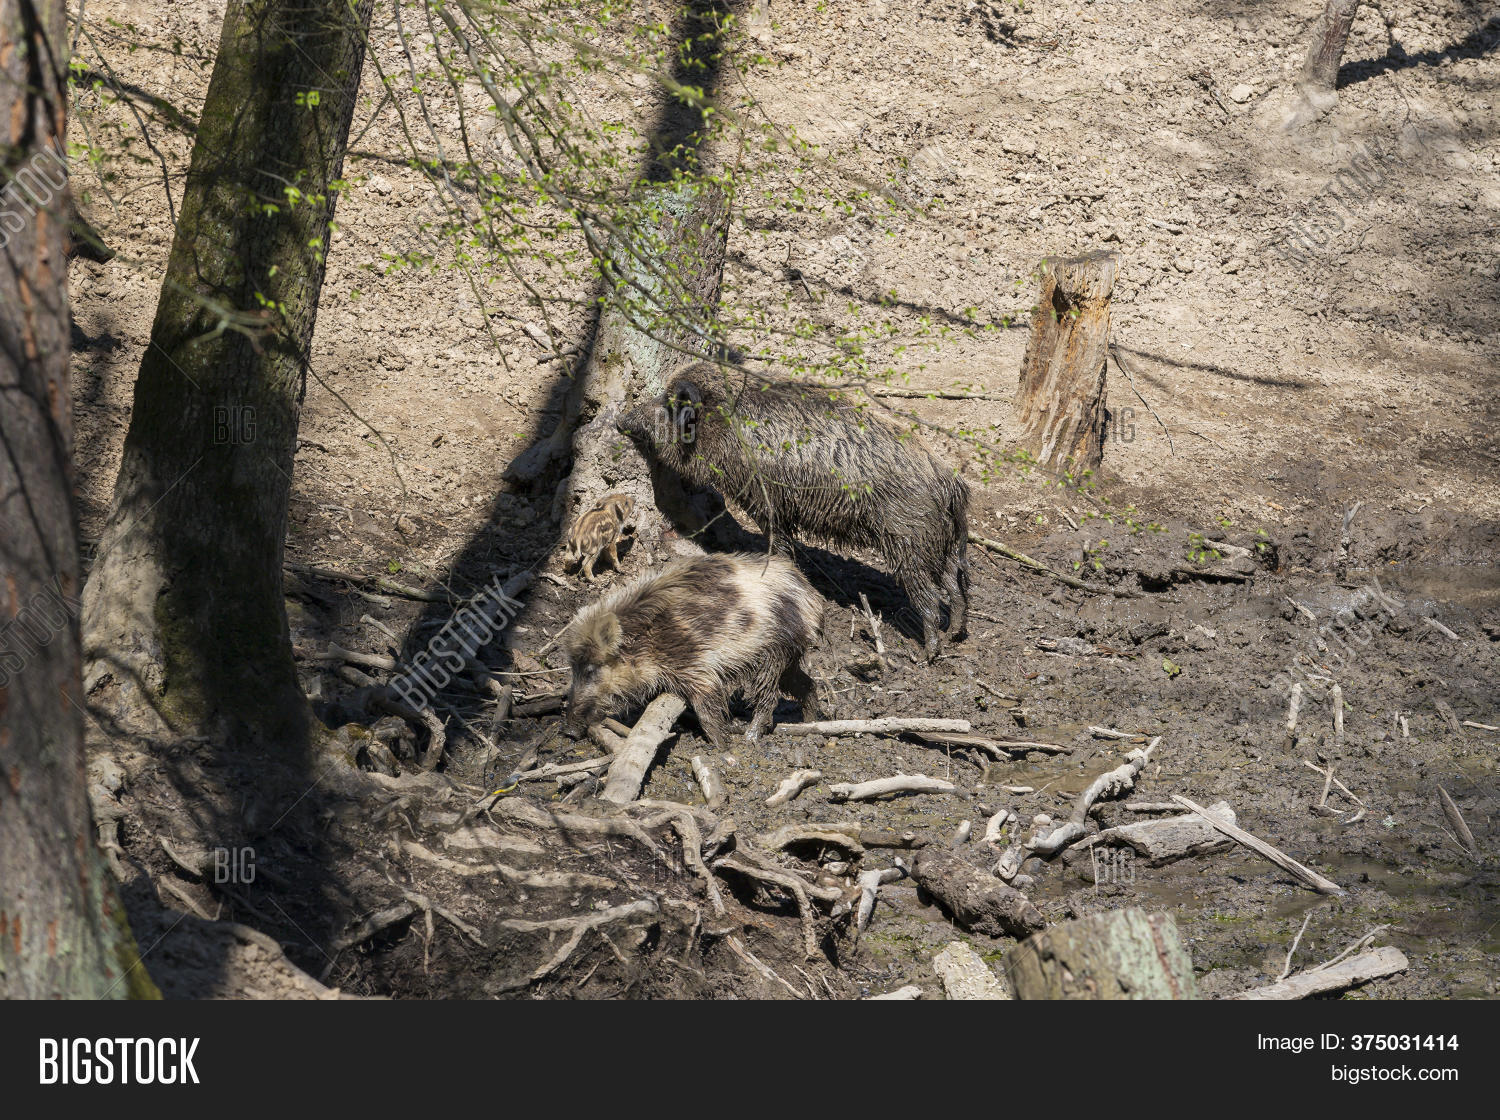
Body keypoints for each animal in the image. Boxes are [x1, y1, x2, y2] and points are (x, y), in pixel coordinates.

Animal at [559, 552, 824, 748]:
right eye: (573, 668)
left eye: (591, 670)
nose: (568, 731)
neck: (649, 644)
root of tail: (811, 596)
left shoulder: (697, 668)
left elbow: (708, 711)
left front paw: (722, 747)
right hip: (789, 656)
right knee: (807, 684)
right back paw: (810, 724)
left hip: (774, 652)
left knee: (769, 698)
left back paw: (751, 738)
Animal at [619, 362, 970, 659]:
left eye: (670, 405)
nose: (623, 419)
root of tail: (951, 484)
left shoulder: (767, 499)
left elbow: (780, 539)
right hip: (943, 545)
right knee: (956, 589)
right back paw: (954, 635)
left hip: (910, 541)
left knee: (930, 596)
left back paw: (927, 655)